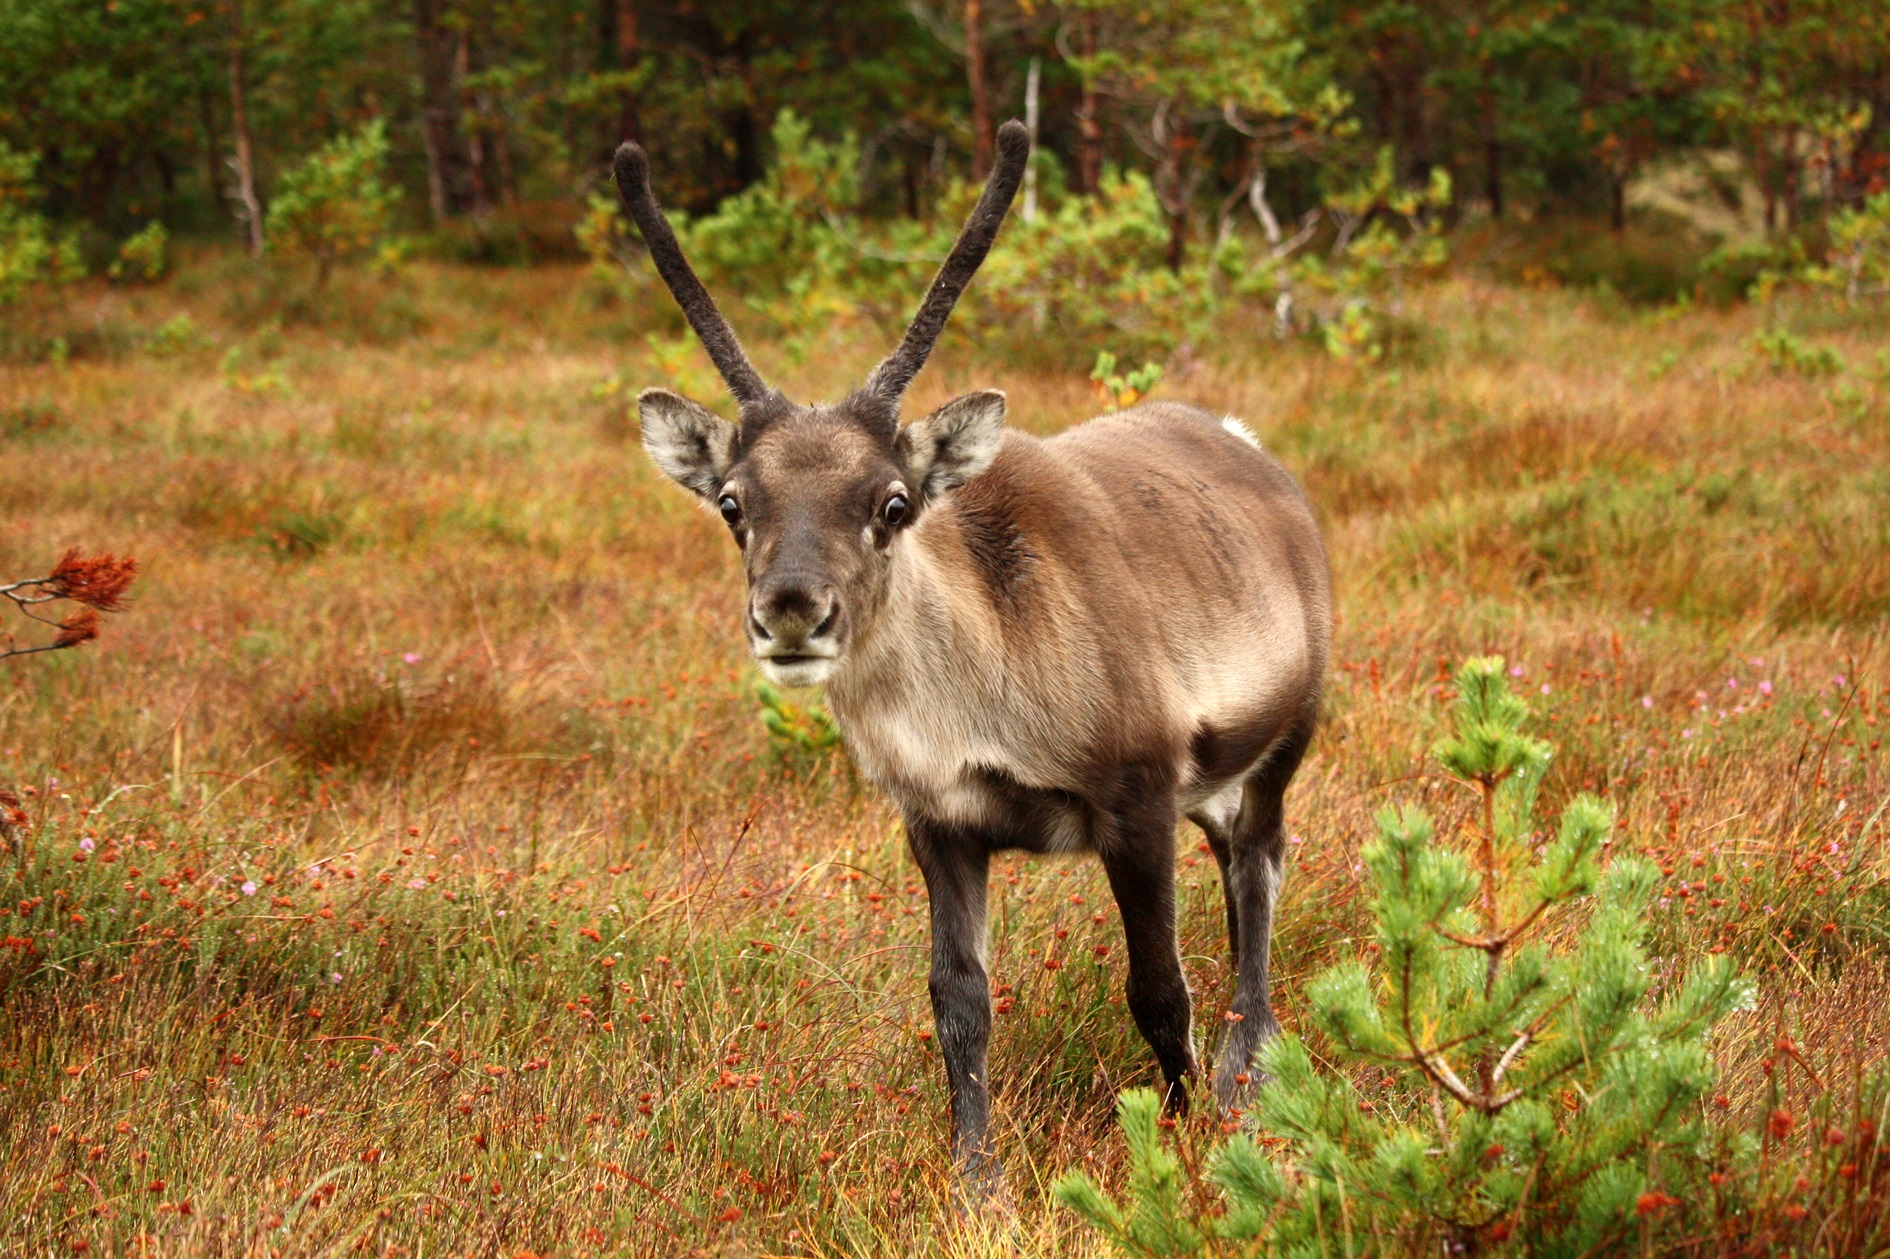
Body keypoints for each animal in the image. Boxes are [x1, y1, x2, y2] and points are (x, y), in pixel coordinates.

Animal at [613, 120, 1330, 1194]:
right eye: (734, 502)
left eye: (892, 502)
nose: (792, 610)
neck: (974, 705)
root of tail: (1252, 448)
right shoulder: (939, 818)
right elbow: (959, 999)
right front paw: (975, 1179)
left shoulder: (1136, 794)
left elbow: (1158, 988)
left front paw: (1185, 1137)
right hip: (1211, 781)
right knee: (1238, 858)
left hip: (1286, 737)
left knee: (1261, 864)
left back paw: (1250, 1064)